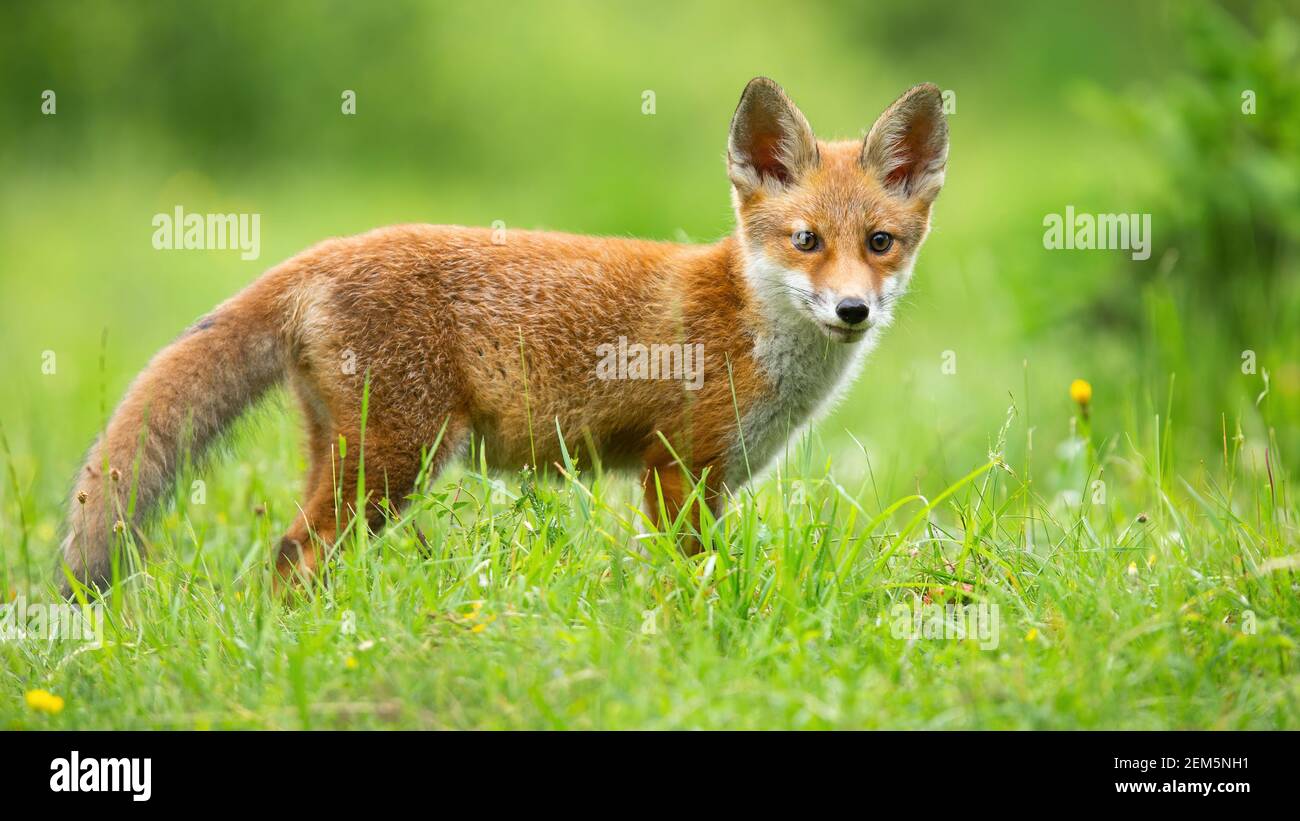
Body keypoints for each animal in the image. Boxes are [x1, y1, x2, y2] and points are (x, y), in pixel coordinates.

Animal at [60, 77, 949, 593]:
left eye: (880, 243)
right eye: (806, 241)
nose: (853, 311)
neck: (748, 324)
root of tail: (322, 251)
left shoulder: (711, 478)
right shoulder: (676, 471)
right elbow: (686, 580)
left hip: (346, 454)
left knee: (287, 554)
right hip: (396, 460)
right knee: (294, 552)